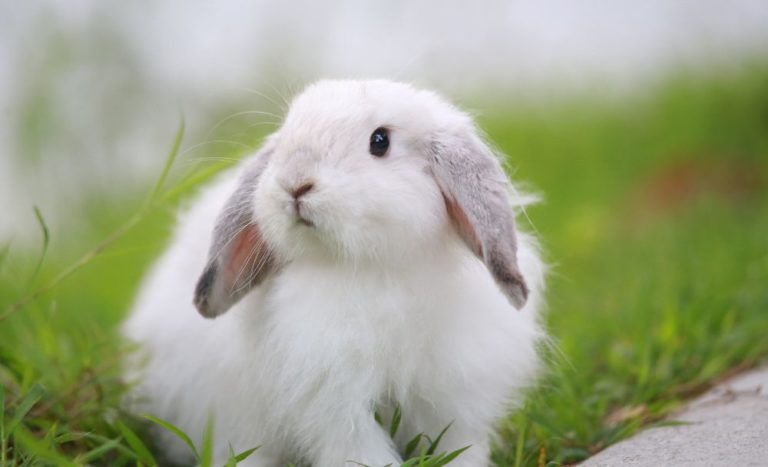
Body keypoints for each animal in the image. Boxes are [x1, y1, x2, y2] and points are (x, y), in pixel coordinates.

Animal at [122, 79, 546, 467]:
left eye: (380, 141)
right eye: (287, 133)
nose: (294, 183)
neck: (374, 267)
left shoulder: (454, 398)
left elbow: (458, 445)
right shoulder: (336, 404)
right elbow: (361, 452)